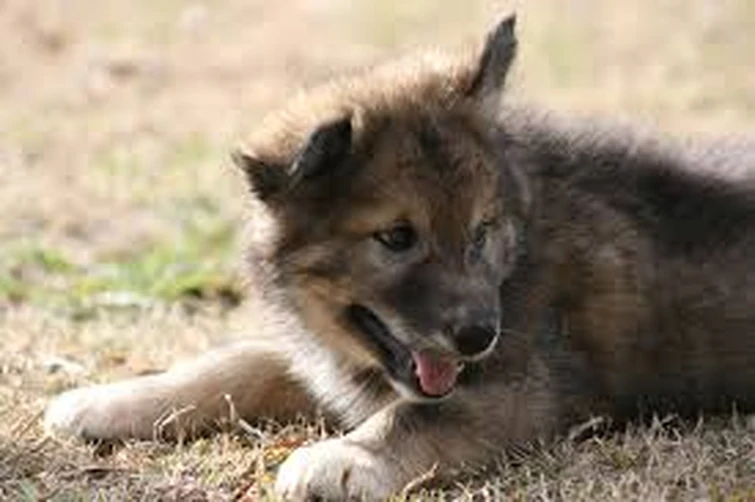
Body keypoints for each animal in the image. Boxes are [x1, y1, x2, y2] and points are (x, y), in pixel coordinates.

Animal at [44, 16, 755, 501]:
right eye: (395, 238)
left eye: (481, 231)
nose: (478, 336)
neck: (524, 252)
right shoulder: (335, 365)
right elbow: (240, 360)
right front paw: (109, 400)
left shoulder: (521, 389)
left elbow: (419, 413)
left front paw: (344, 458)